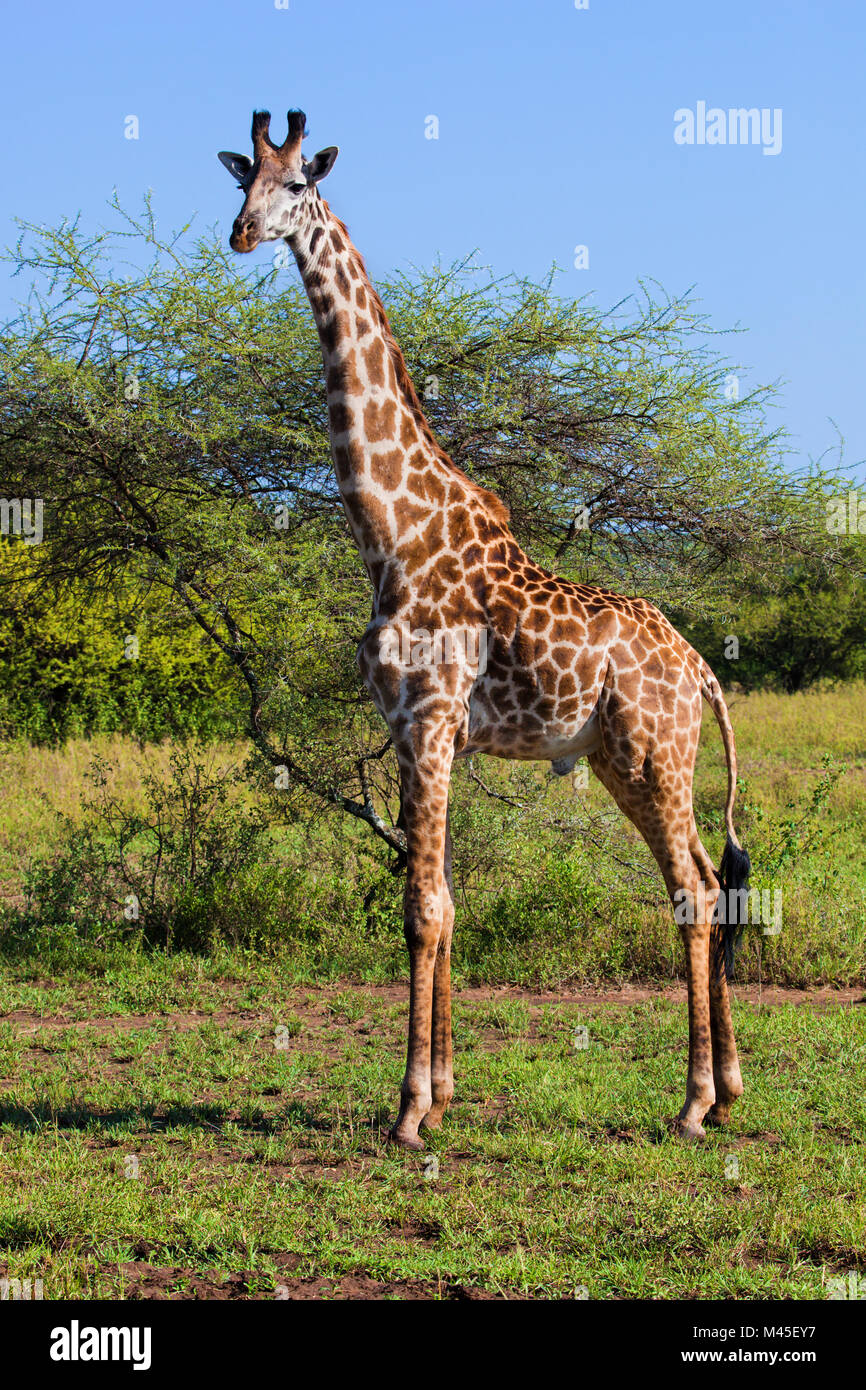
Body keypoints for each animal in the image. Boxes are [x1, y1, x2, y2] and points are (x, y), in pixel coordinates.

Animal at [218, 108, 752, 1149]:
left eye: (299, 183)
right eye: (235, 182)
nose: (243, 234)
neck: (390, 530)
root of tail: (703, 670)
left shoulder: (426, 719)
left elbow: (422, 908)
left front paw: (409, 1112)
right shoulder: (423, 732)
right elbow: (451, 902)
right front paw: (446, 1088)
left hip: (656, 755)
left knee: (697, 889)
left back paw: (692, 1103)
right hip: (624, 761)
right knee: (710, 879)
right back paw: (730, 1086)